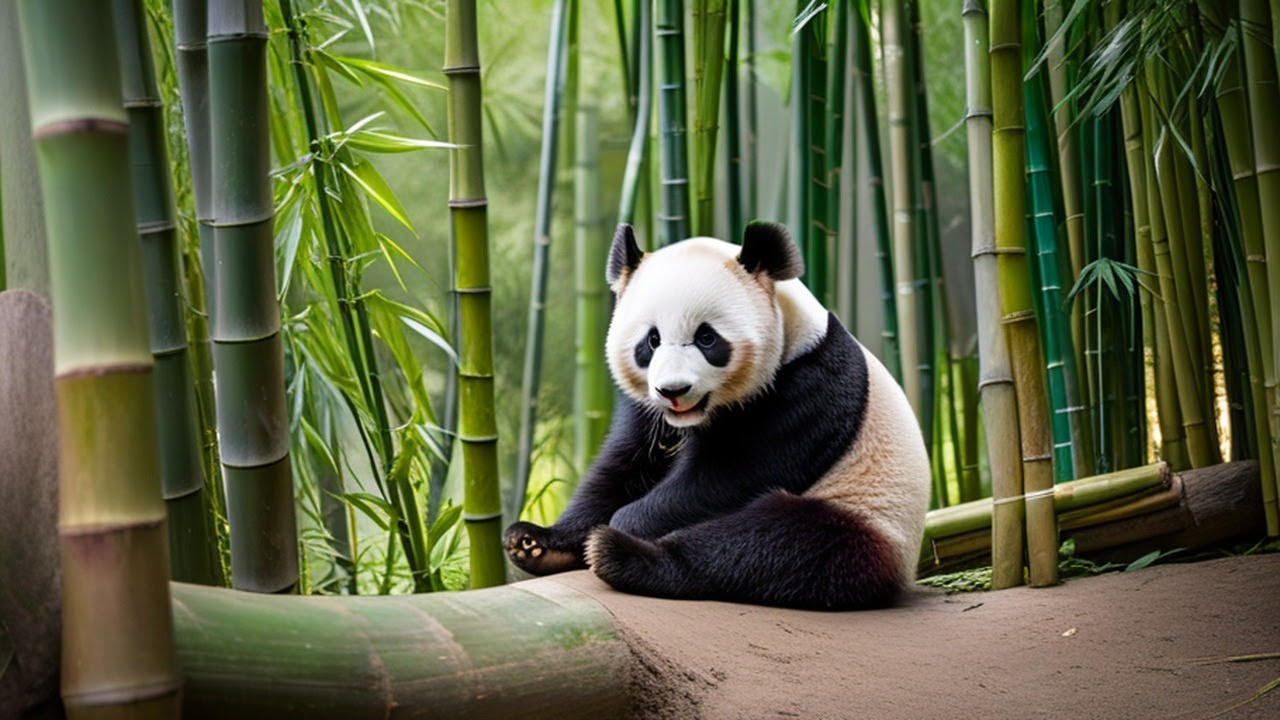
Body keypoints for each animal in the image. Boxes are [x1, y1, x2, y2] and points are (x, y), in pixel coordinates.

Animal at [504, 221, 931, 610]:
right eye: (651, 340)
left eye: (707, 338)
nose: (673, 391)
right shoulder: (646, 410)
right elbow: (622, 465)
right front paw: (539, 540)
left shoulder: (809, 387)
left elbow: (731, 475)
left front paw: (625, 522)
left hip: (865, 509)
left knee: (779, 545)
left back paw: (623, 555)